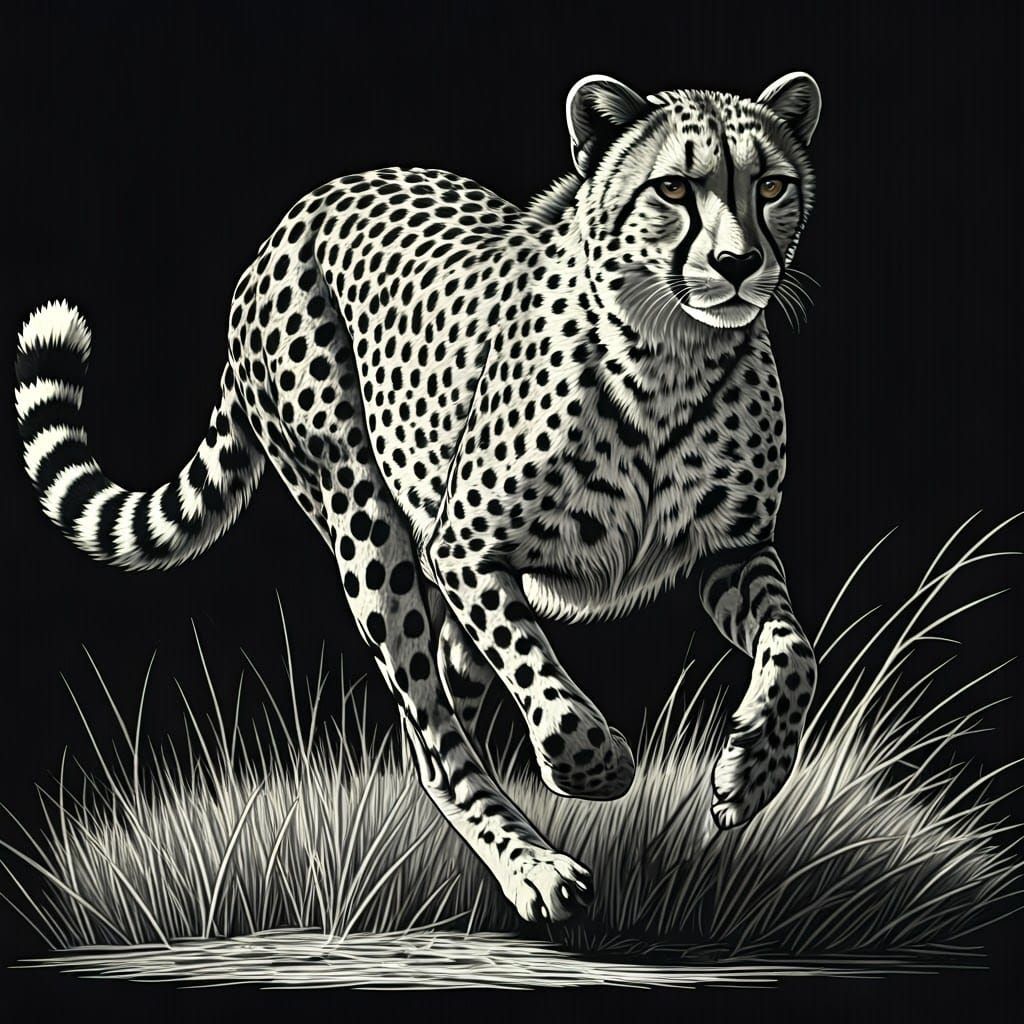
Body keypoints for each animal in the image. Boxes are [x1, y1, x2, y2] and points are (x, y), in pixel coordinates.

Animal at [15, 72, 821, 923]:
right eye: (672, 188)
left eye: (771, 185)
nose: (738, 263)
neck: (671, 358)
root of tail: (305, 207)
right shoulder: (464, 548)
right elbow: (547, 687)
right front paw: (592, 768)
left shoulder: (734, 551)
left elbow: (795, 653)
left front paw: (752, 772)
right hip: (366, 522)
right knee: (433, 734)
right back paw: (534, 869)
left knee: (439, 708)